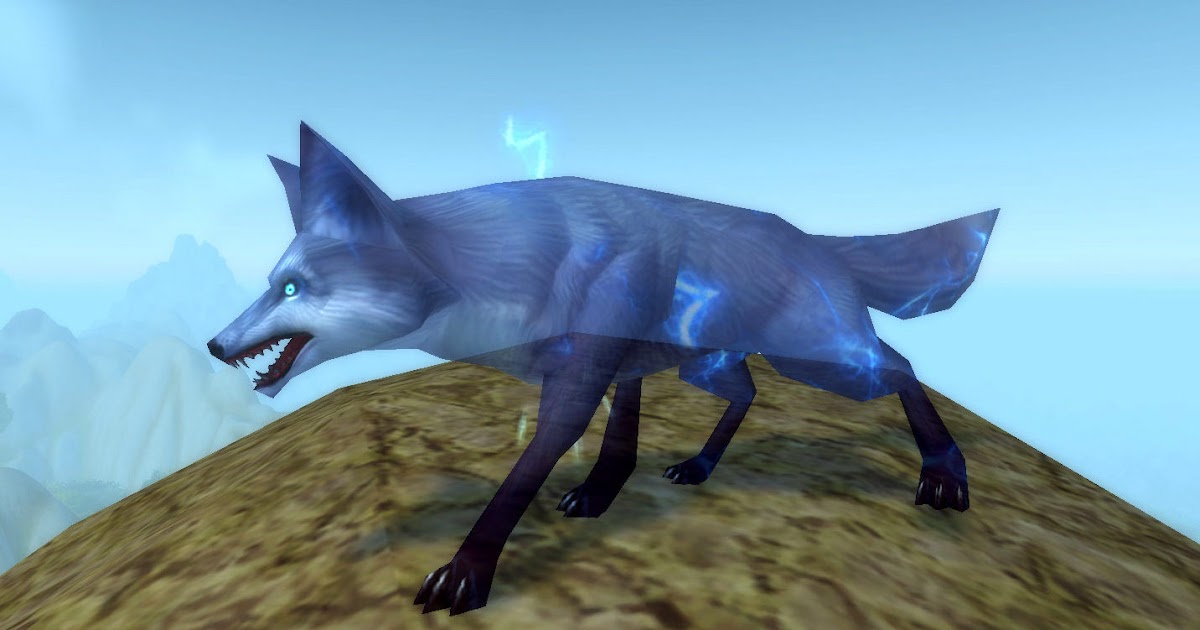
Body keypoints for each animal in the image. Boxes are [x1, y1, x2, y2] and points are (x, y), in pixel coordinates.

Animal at [208, 122, 998, 616]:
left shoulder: (585, 369)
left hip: (824, 361)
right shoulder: (620, 363)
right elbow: (619, 443)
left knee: (898, 364)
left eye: (291, 289)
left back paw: (945, 472)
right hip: (712, 367)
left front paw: (467, 573)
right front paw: (598, 494)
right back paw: (700, 467)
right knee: (746, 392)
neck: (508, 267)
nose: (215, 345)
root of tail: (816, 239)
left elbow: (525, 475)